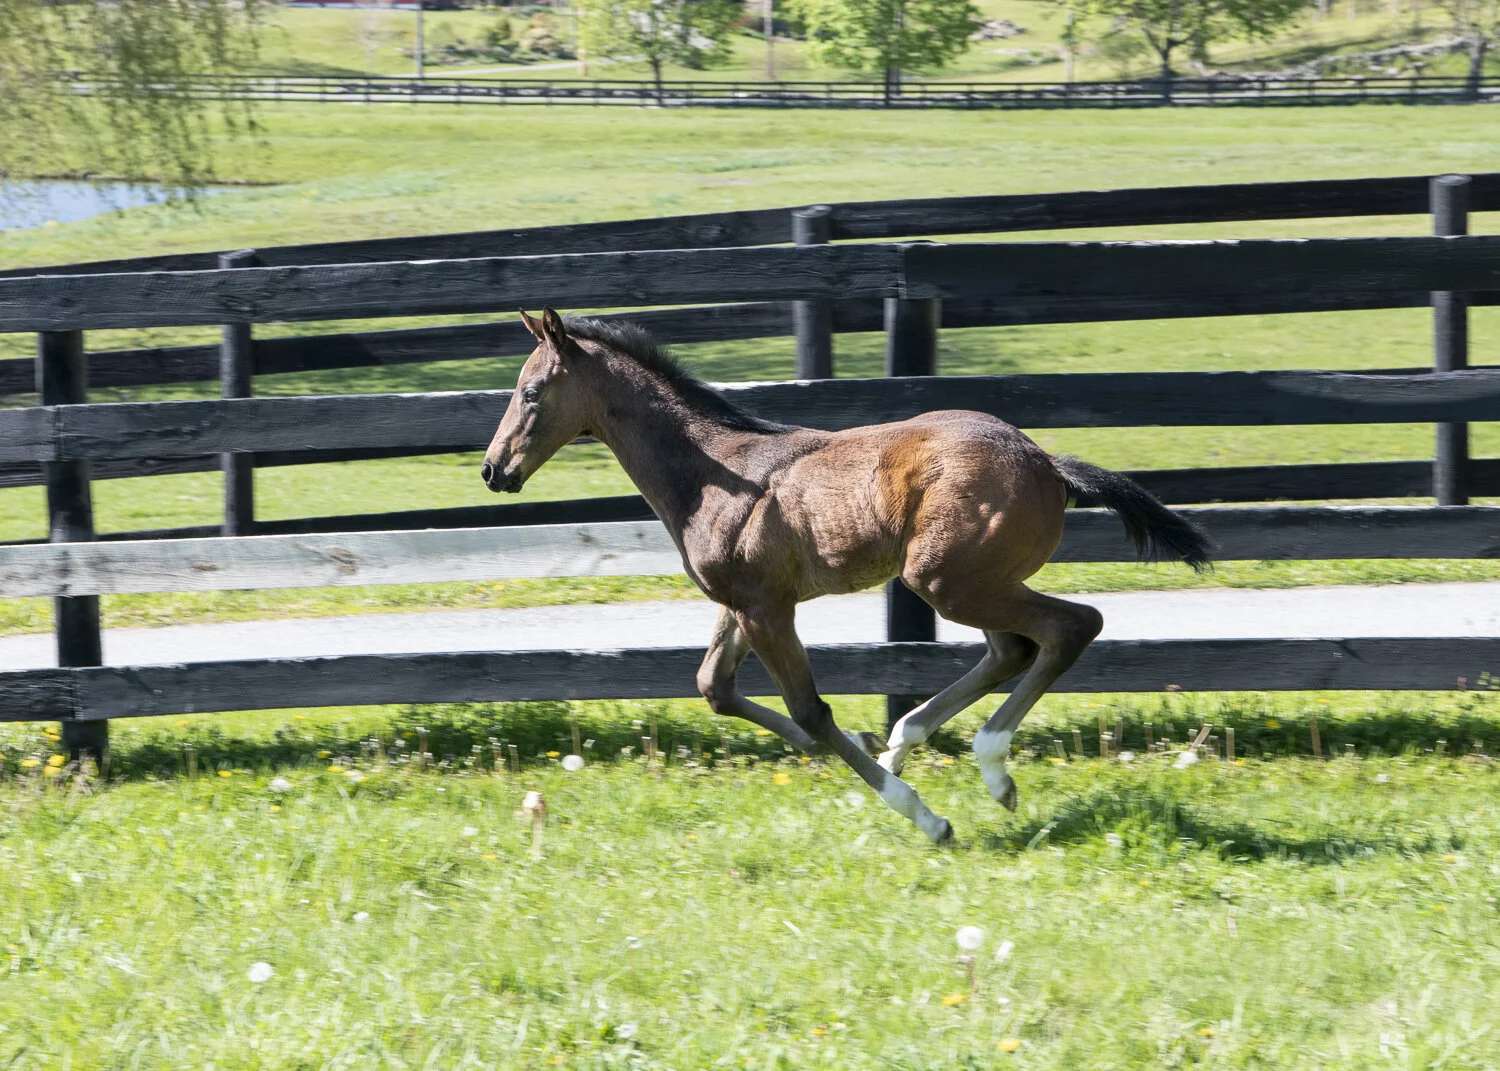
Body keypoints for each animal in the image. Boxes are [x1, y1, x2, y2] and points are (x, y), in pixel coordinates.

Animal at [482, 308, 1211, 844]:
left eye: (530, 391)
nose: (493, 469)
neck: (714, 473)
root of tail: (1046, 461)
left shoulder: (768, 608)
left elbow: (809, 707)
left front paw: (926, 817)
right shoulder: (743, 603)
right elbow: (716, 687)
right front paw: (858, 747)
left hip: (945, 579)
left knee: (1070, 626)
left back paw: (990, 765)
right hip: (970, 580)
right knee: (1012, 649)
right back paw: (906, 741)